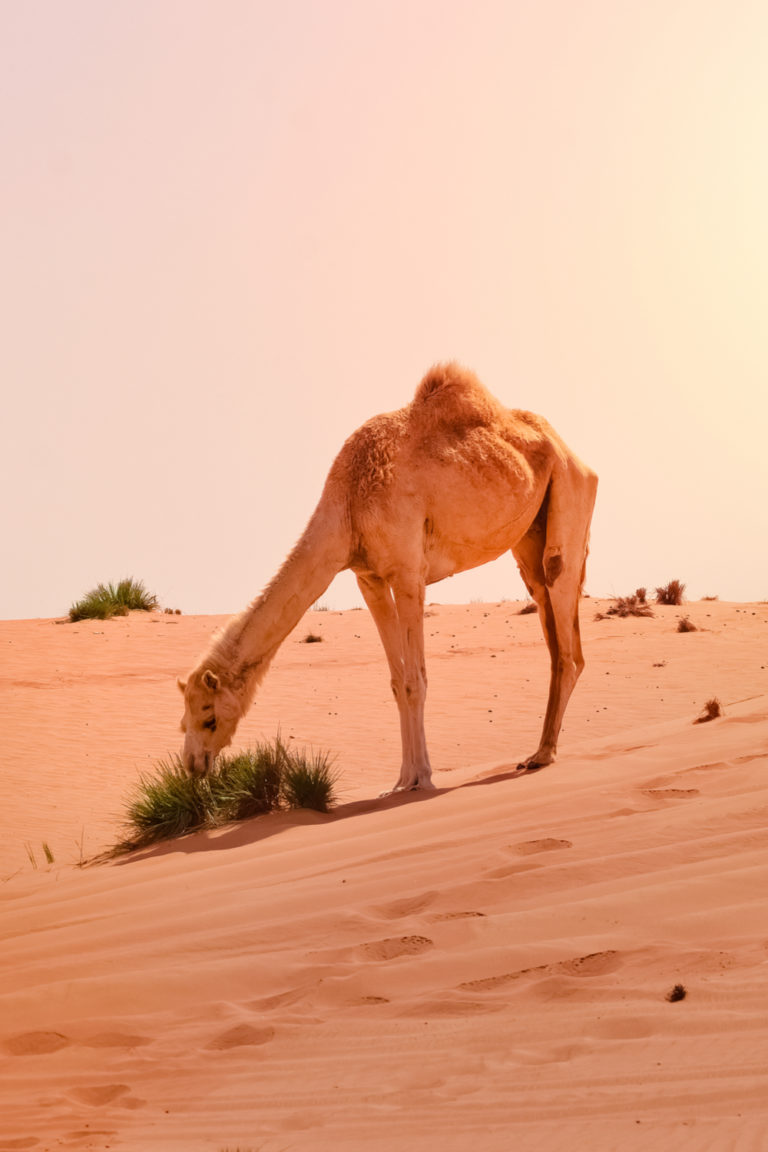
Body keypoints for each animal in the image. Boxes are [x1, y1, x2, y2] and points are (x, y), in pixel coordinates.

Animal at [179, 362, 598, 789]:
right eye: (185, 720)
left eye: (209, 717)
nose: (193, 766)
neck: (349, 505)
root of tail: (574, 455)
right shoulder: (370, 579)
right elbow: (397, 682)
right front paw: (400, 780)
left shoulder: (408, 573)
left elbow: (415, 680)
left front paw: (421, 778)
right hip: (530, 538)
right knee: (549, 619)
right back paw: (538, 751)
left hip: (570, 495)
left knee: (565, 626)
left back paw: (542, 754)